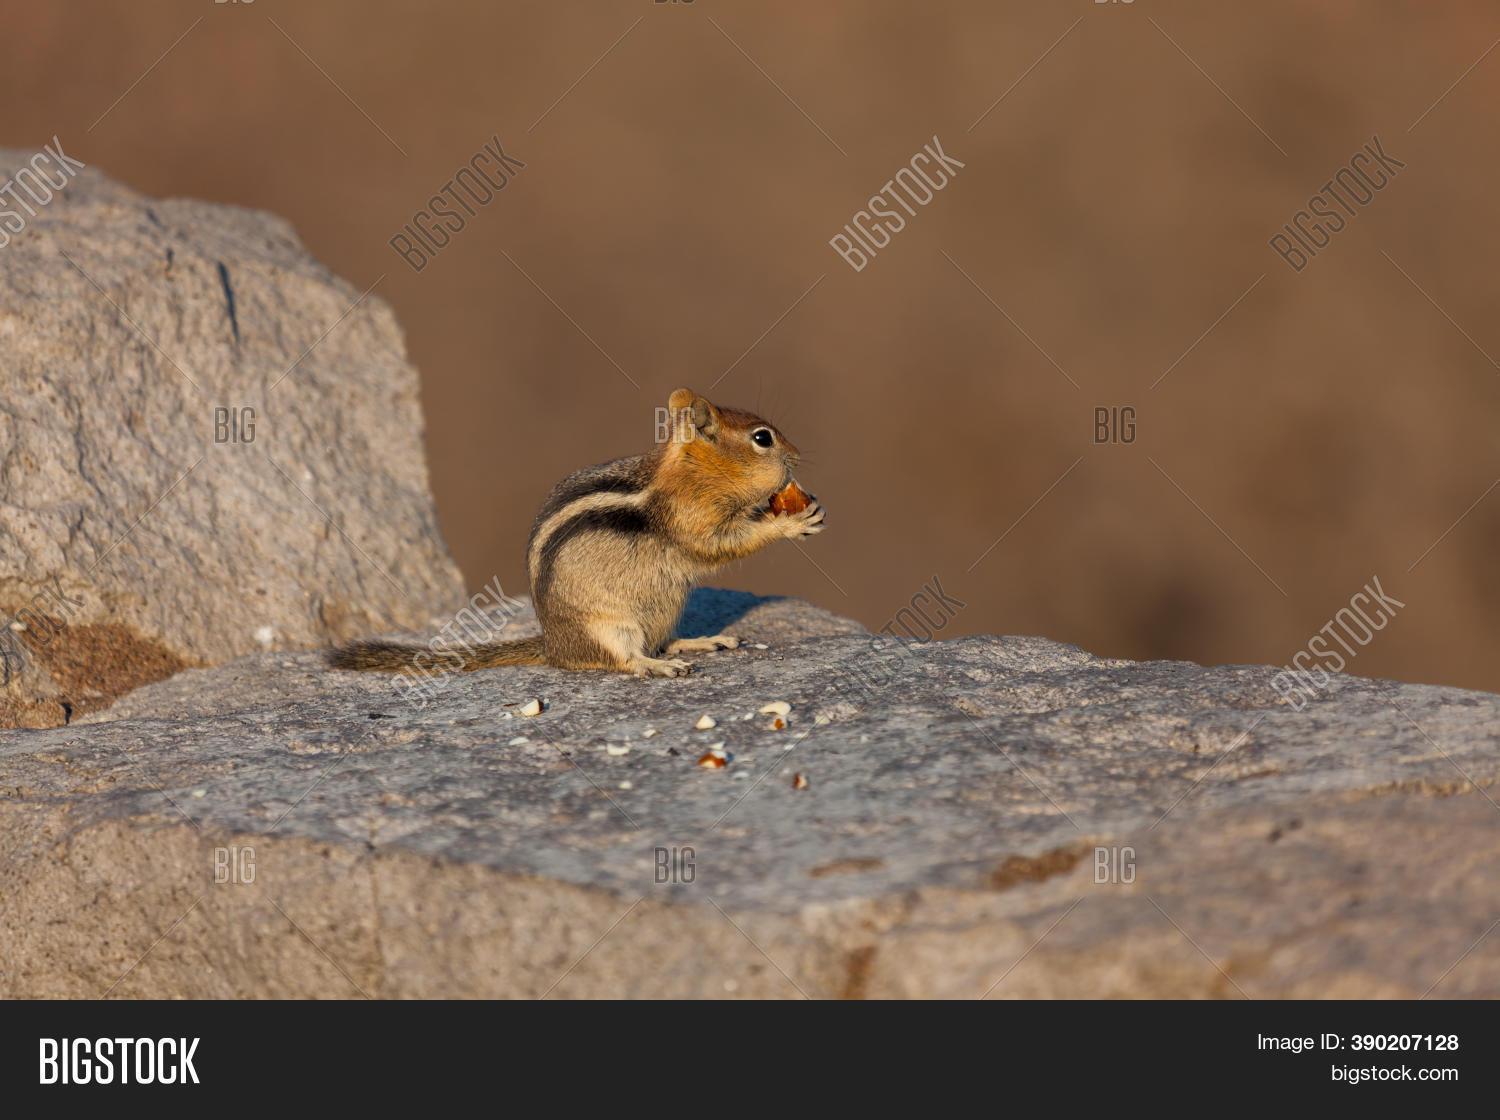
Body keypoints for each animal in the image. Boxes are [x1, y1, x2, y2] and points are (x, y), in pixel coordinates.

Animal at [329, 388, 825, 678]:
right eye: (763, 439)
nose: (799, 455)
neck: (694, 473)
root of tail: (555, 647)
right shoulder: (692, 519)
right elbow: (722, 545)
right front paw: (791, 521)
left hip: (664, 610)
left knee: (664, 641)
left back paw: (700, 640)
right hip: (609, 626)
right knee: (624, 660)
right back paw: (656, 667)